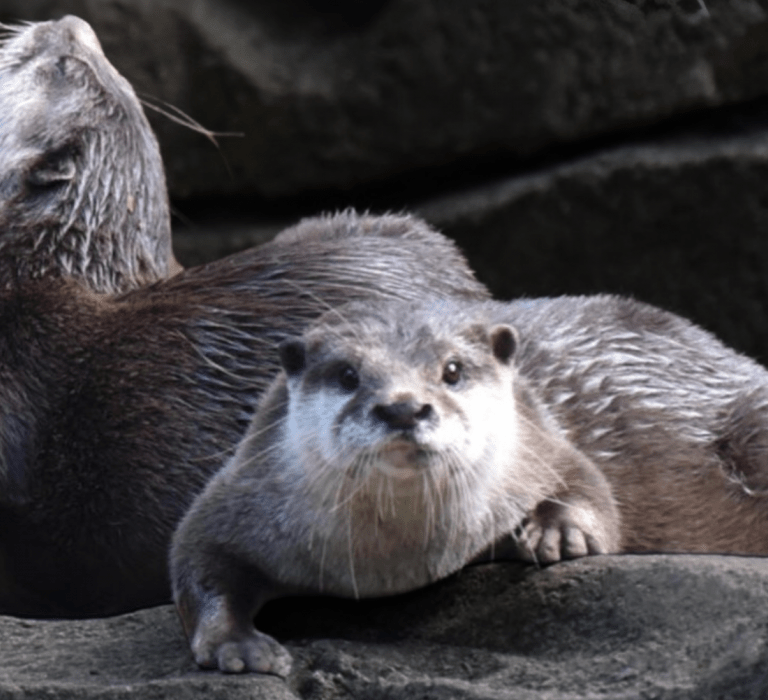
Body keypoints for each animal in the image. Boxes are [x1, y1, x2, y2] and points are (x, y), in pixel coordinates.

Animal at [171, 294, 768, 675]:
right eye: (347, 375)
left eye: (452, 370)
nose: (403, 407)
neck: (398, 561)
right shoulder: (248, 488)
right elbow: (195, 555)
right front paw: (239, 646)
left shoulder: (539, 444)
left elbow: (592, 487)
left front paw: (557, 532)